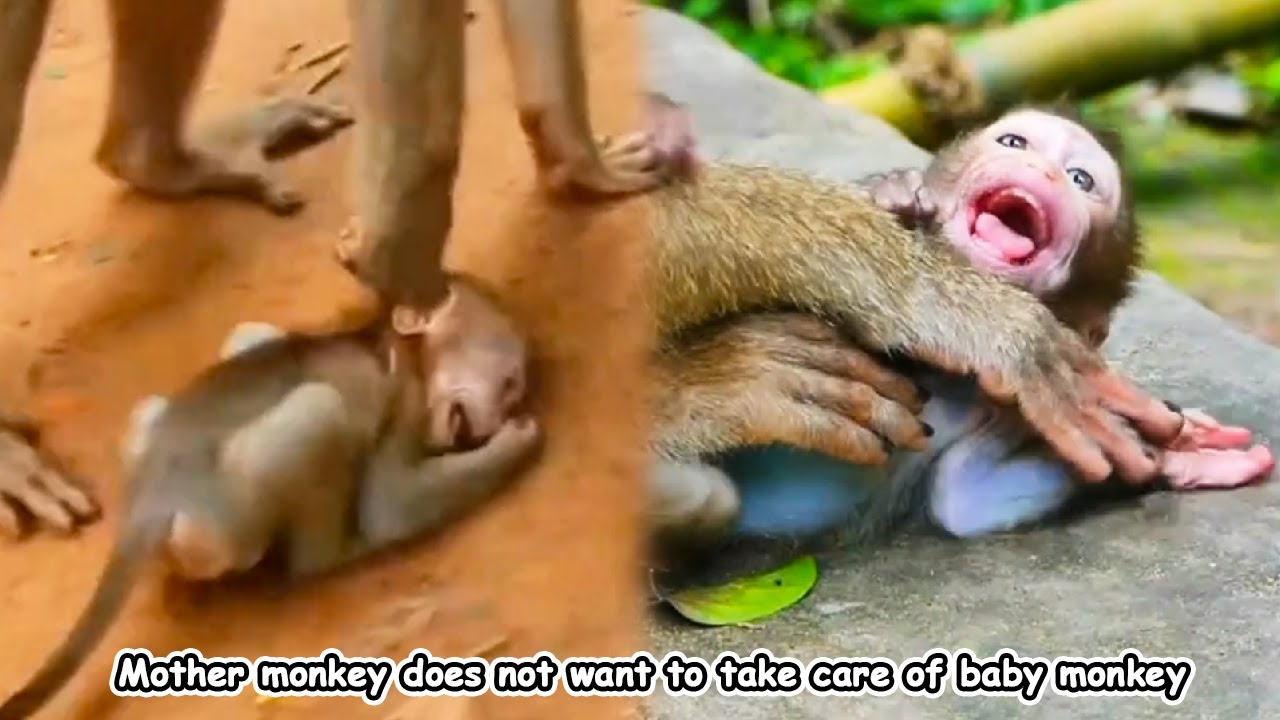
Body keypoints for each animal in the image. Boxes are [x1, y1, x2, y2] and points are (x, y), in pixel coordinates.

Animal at [0, 312, 542, 719]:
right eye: (510, 383)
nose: (498, 413)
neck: (389, 346)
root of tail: (155, 491)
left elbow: (253, 335)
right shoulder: (405, 401)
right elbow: (390, 506)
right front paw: (516, 441)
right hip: (222, 528)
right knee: (319, 409)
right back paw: (333, 553)